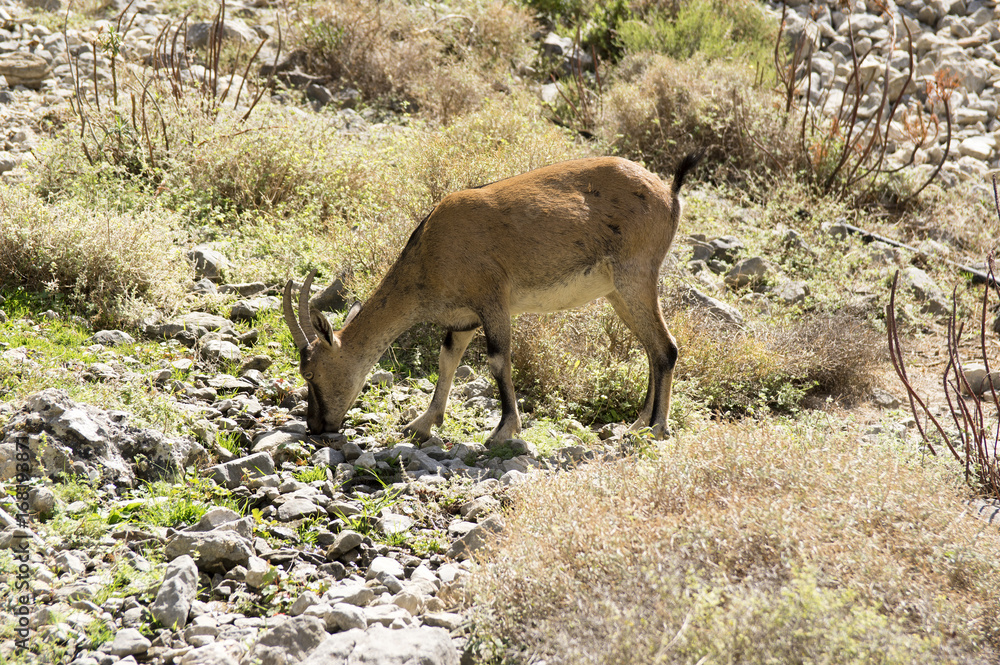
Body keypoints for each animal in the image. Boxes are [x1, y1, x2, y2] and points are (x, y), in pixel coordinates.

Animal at [283, 154, 699, 443]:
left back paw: (656, 429)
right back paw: (639, 422)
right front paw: (421, 423)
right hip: (617, 293)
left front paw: (504, 430)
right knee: (651, 349)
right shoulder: (463, 318)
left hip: (636, 276)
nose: (316, 426)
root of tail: (669, 193)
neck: (430, 252)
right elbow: (447, 360)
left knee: (666, 347)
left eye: (309, 372)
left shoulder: (493, 300)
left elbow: (498, 361)